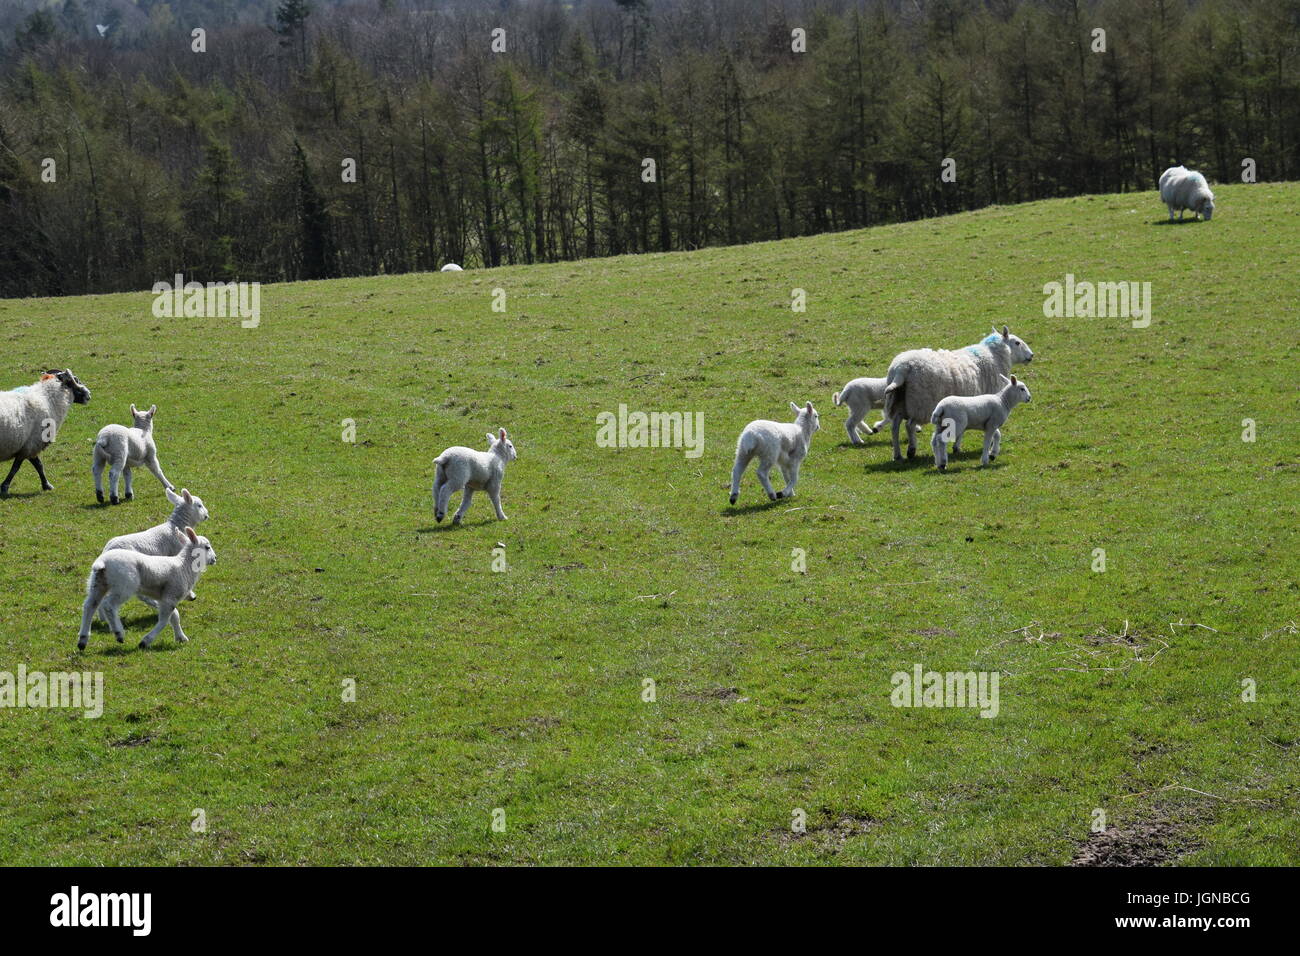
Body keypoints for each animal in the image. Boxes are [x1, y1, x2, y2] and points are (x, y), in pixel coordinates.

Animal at [0, 369, 92, 497]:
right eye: (76, 380)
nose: (89, 395)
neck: (48, 398)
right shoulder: (32, 443)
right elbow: (17, 467)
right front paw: (5, 487)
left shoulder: (30, 445)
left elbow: (38, 465)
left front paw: (46, 485)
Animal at [77, 527, 217, 650]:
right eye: (207, 547)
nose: (215, 559)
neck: (184, 566)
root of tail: (102, 562)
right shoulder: (171, 596)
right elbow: (164, 620)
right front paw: (145, 641)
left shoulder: (165, 598)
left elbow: (175, 616)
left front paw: (181, 637)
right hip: (124, 585)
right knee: (108, 605)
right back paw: (119, 633)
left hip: (98, 582)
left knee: (90, 605)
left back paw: (83, 640)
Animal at [882, 326, 1034, 461]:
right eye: (1017, 342)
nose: (1031, 355)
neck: (994, 356)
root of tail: (902, 368)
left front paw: (956, 447)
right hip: (920, 403)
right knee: (909, 425)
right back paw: (911, 450)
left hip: (898, 401)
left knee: (894, 427)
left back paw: (898, 455)